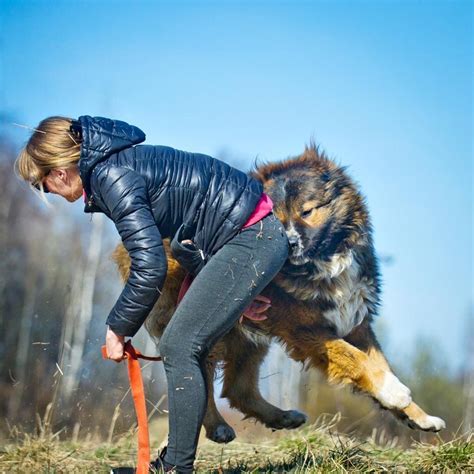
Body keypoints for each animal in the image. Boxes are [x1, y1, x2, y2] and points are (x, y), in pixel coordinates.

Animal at [113, 144, 446, 444]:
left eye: (307, 211)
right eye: (274, 216)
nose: (289, 242)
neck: (322, 266)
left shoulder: (355, 322)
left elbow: (378, 362)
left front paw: (418, 416)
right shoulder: (305, 329)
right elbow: (357, 359)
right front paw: (395, 392)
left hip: (246, 334)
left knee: (238, 389)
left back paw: (282, 417)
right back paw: (217, 426)